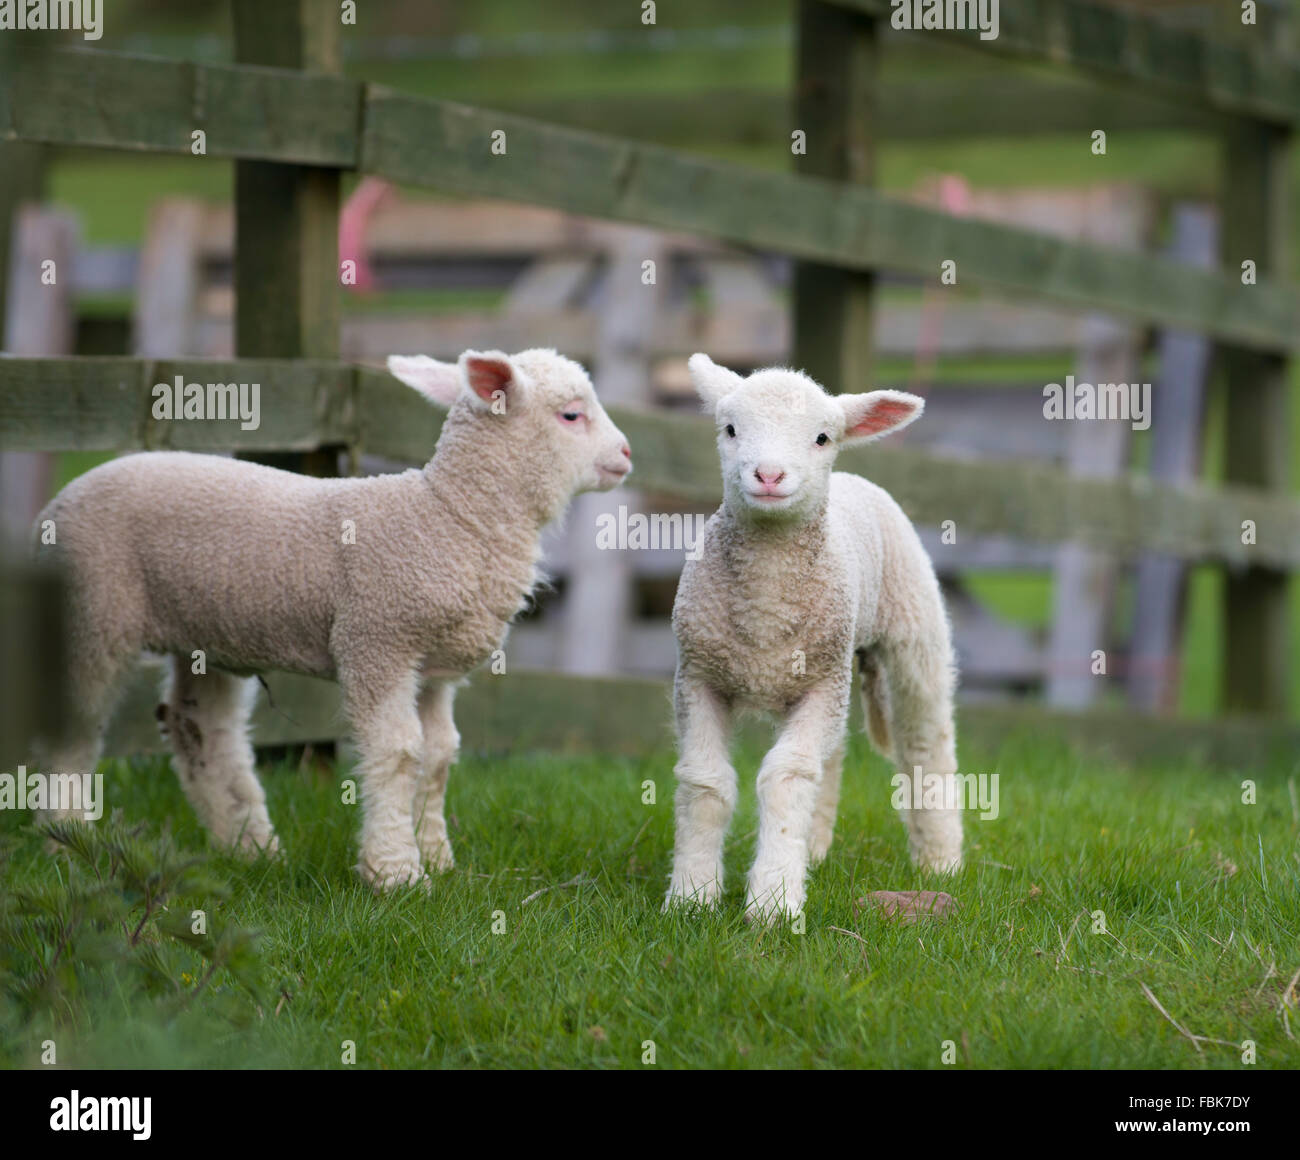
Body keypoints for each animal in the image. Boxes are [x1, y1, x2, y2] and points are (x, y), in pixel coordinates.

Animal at [32, 348, 632, 891]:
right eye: (571, 415)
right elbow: (399, 752)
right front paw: (396, 873)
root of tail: (56, 503)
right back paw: (68, 841)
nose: (626, 453)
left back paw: (250, 846)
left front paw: (439, 859)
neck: (449, 518)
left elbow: (438, 755)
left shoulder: (435, 671)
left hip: (204, 631)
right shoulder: (377, 640)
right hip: (91, 614)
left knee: (201, 729)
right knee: (74, 729)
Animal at [665, 353, 962, 923]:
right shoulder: (698, 676)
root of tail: (851, 478)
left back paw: (940, 861)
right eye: (729, 429)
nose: (768, 475)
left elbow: (785, 778)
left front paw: (773, 903)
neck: (765, 608)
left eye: (822, 437)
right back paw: (816, 850)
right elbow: (706, 781)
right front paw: (692, 896)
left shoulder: (820, 685)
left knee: (925, 739)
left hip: (913, 631)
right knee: (834, 757)